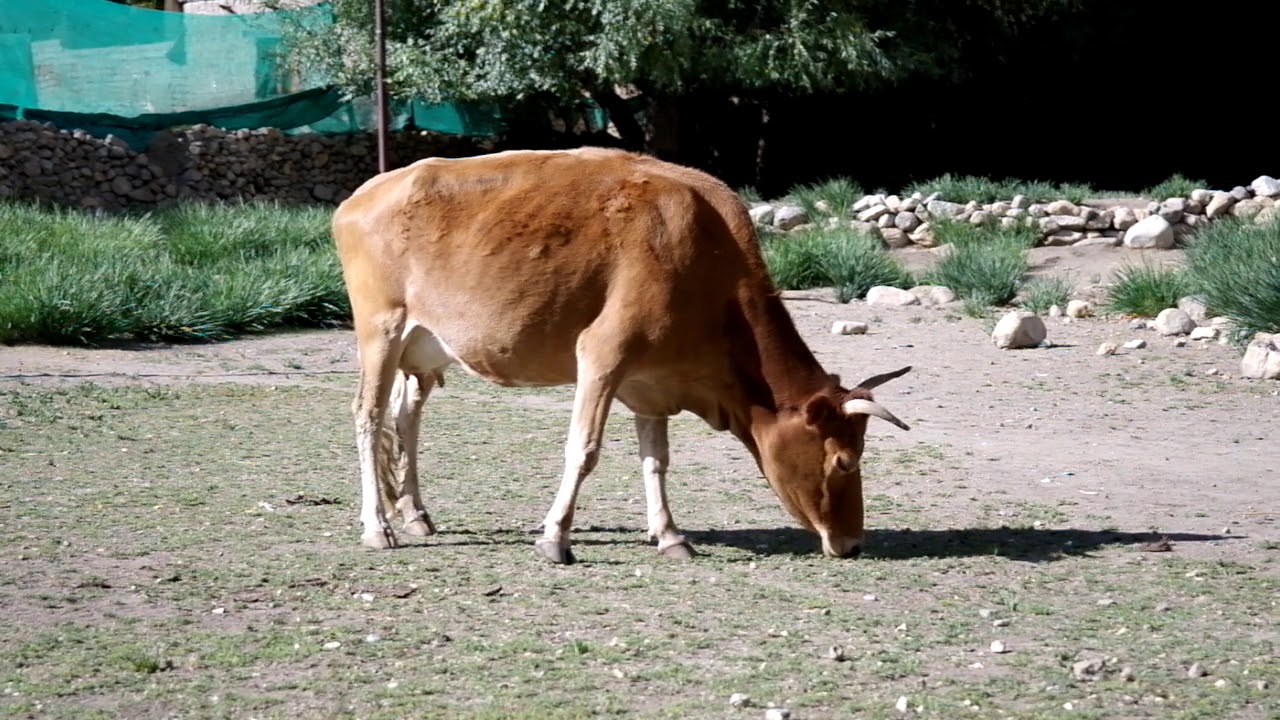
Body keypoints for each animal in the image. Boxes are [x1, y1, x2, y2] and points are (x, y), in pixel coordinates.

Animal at [332, 147, 910, 563]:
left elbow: (656, 460)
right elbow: (583, 449)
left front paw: (670, 535)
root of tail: (363, 193)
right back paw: (378, 527)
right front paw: (555, 538)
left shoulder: (651, 382)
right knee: (368, 414)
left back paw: (416, 514)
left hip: (423, 352)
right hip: (381, 329)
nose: (853, 543)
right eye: (844, 461)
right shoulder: (603, 355)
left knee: (406, 418)